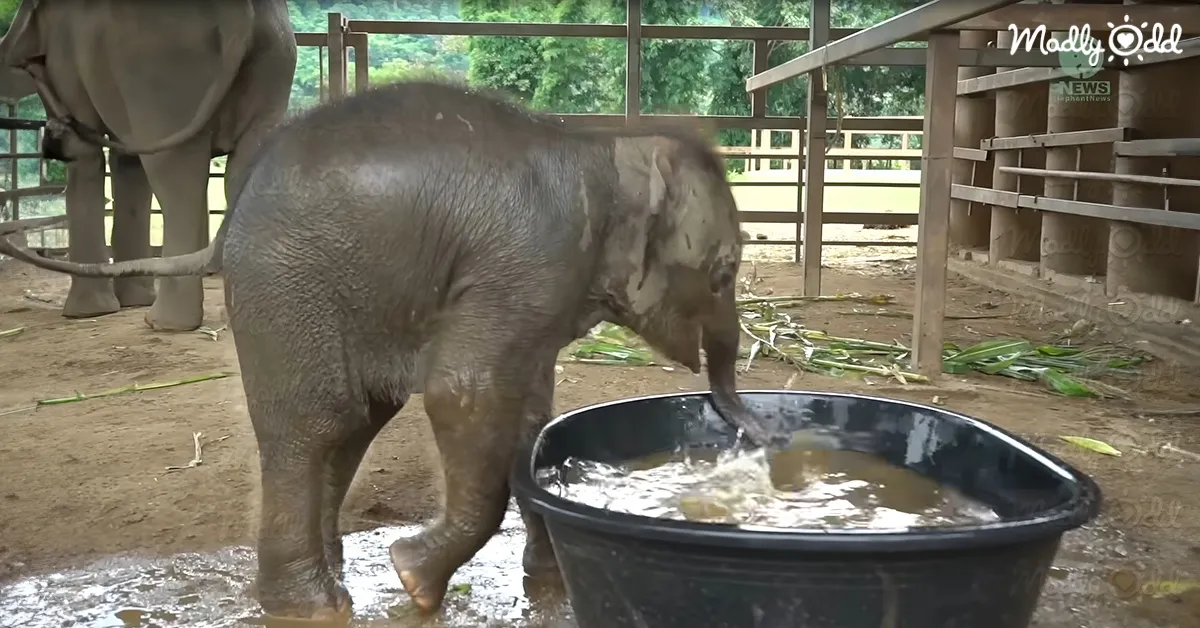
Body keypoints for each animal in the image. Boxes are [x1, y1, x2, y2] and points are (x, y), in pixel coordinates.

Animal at [0, 0, 297, 330]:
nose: (52, 137)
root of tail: (241, 13)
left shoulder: (65, 55)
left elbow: (87, 154)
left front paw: (87, 313)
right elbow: (127, 163)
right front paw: (129, 302)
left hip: (162, 75)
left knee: (176, 180)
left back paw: (163, 322)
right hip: (273, 58)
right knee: (243, 167)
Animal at [0, 80, 784, 621]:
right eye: (724, 275)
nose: (764, 436)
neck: (611, 150)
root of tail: (231, 221)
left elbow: (527, 417)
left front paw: (550, 591)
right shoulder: (527, 264)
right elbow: (465, 393)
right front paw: (412, 578)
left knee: (352, 424)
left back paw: (335, 583)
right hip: (290, 286)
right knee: (317, 423)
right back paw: (312, 608)